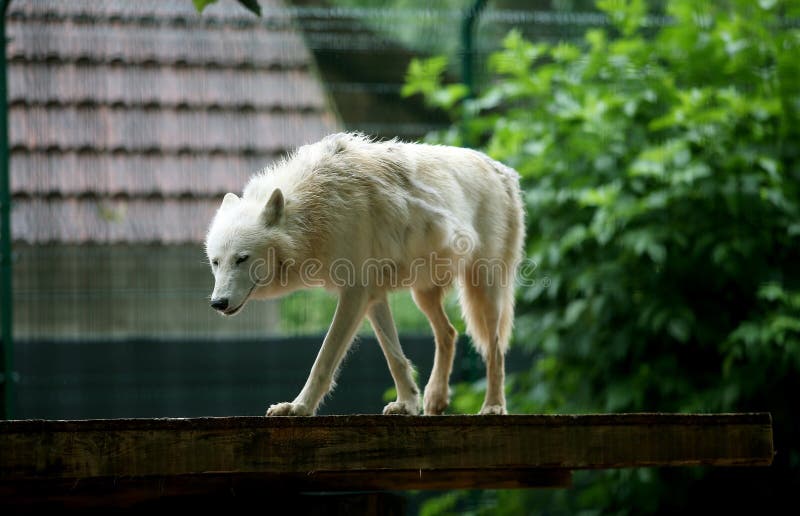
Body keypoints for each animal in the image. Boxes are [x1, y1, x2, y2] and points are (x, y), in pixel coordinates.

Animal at [205, 133, 525, 416]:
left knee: (495, 349)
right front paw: (408, 404)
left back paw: (494, 406)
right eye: (215, 262)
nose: (217, 303)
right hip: (423, 294)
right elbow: (395, 357)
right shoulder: (373, 295)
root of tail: (502, 170)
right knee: (449, 333)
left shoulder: (355, 293)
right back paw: (435, 399)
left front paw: (299, 407)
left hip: (485, 291)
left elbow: (324, 358)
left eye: (242, 259)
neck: (313, 212)